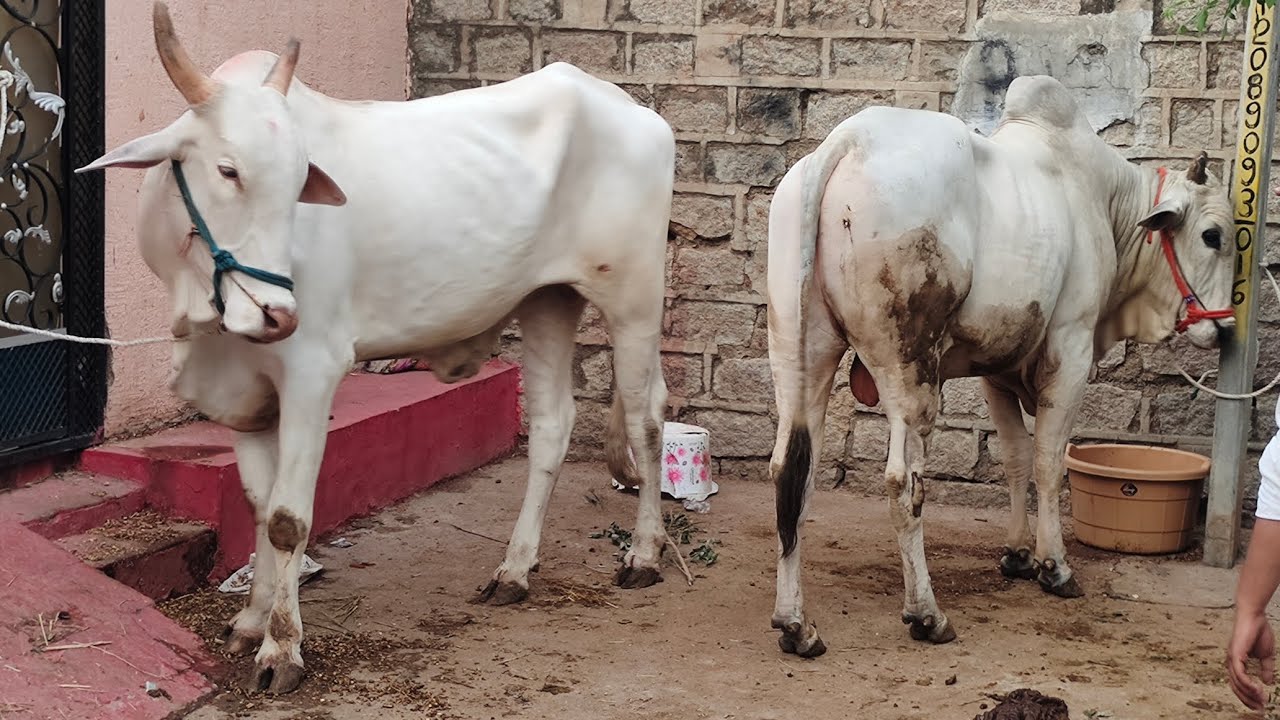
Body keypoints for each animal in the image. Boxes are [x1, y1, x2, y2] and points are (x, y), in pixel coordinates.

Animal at [77, 3, 675, 694]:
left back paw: (644, 555)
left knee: (647, 420)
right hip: (547, 301)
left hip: (634, 299)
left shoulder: (312, 373)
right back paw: (514, 571)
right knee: (553, 426)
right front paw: (251, 621)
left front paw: (281, 650)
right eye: (228, 170)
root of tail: (630, 107)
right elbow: (256, 505)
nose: (277, 315)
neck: (203, 311)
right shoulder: (246, 394)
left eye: (298, 184)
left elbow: (288, 518)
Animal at [765, 75, 1235, 656]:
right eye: (1213, 235)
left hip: (798, 352)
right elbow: (1049, 462)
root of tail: (846, 140)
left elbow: (1014, 458)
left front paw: (1017, 553)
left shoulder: (996, 370)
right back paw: (927, 613)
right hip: (910, 368)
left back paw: (796, 624)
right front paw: (1055, 566)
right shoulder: (1071, 349)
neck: (1106, 204)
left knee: (791, 472)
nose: (1225, 329)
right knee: (903, 483)